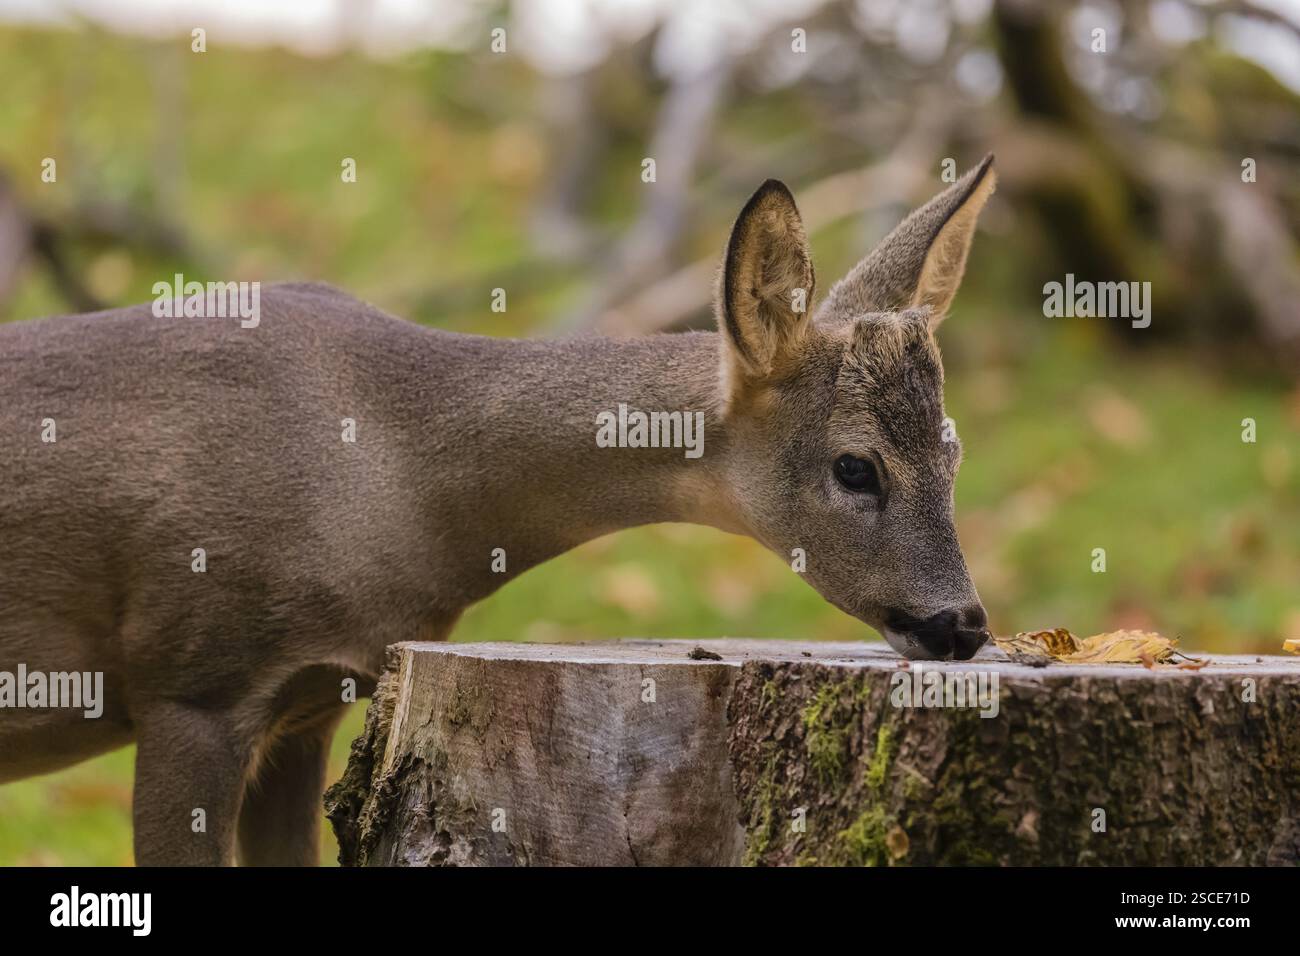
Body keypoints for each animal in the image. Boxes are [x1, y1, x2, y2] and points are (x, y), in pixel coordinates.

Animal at [0, 155, 996, 866]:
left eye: (954, 452)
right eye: (856, 467)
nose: (963, 625)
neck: (401, 477)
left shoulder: (311, 705)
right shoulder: (189, 681)